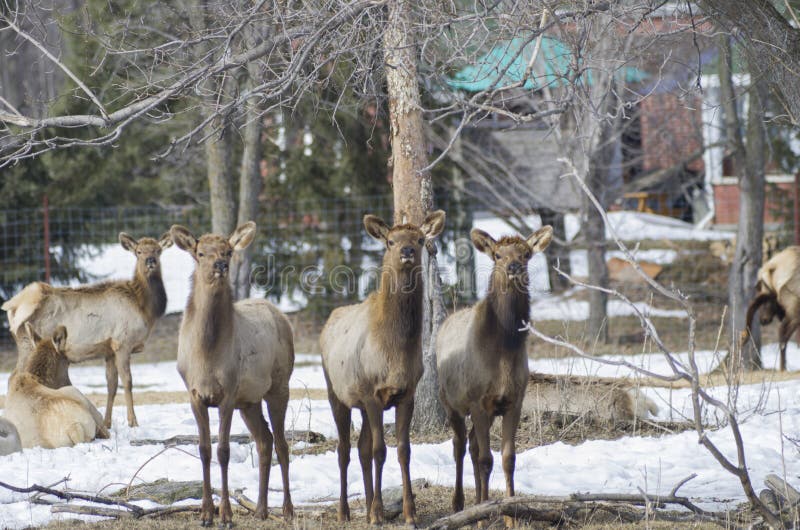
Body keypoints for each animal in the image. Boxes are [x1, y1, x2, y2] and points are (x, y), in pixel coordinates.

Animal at [1, 232, 172, 428]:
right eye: (139, 251)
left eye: (158, 250)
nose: (151, 261)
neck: (145, 307)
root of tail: (13, 305)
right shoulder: (122, 343)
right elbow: (127, 382)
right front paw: (133, 422)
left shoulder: (109, 350)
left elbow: (111, 385)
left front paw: (107, 422)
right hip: (29, 345)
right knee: (14, 377)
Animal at [170, 221, 294, 527]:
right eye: (200, 252)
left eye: (227, 250)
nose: (221, 265)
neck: (207, 354)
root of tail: (282, 316)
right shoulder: (195, 395)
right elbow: (204, 450)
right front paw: (205, 513)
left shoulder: (227, 392)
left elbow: (223, 451)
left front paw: (225, 514)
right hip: (249, 401)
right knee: (264, 440)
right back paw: (261, 509)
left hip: (279, 386)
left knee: (282, 444)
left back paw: (287, 510)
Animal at [320, 210, 446, 526]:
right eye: (391, 240)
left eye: (420, 239)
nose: (407, 251)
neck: (394, 349)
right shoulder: (371, 393)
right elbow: (380, 451)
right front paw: (378, 514)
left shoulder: (406, 393)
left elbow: (403, 450)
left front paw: (410, 514)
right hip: (336, 392)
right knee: (344, 449)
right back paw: (345, 511)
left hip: (362, 405)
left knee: (361, 448)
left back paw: (365, 508)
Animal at [436, 225, 552, 523]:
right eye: (498, 255)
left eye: (526, 254)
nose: (513, 266)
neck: (504, 350)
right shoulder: (479, 401)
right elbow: (486, 460)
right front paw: (482, 516)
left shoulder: (513, 401)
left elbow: (508, 459)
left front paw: (510, 513)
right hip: (451, 401)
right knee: (459, 445)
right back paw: (460, 504)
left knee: (473, 445)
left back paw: (478, 499)